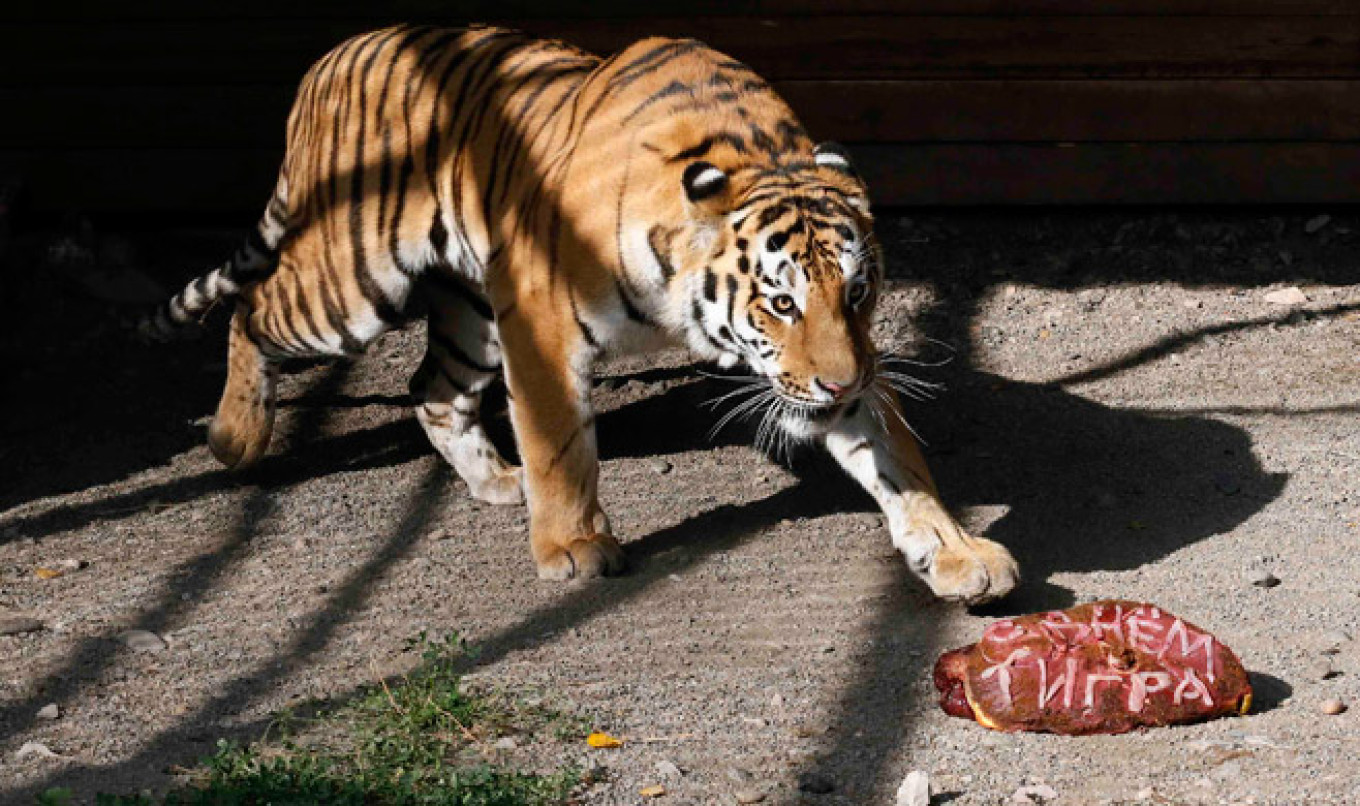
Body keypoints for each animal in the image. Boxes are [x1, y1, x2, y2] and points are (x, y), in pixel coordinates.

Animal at [142, 24, 1018, 603]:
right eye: (780, 303)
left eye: (858, 293)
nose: (838, 387)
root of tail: (332, 56)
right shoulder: (538, 317)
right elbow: (561, 442)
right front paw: (572, 547)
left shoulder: (845, 365)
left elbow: (898, 462)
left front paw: (957, 553)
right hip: (353, 285)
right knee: (252, 308)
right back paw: (235, 435)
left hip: (468, 307)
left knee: (431, 387)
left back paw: (496, 480)